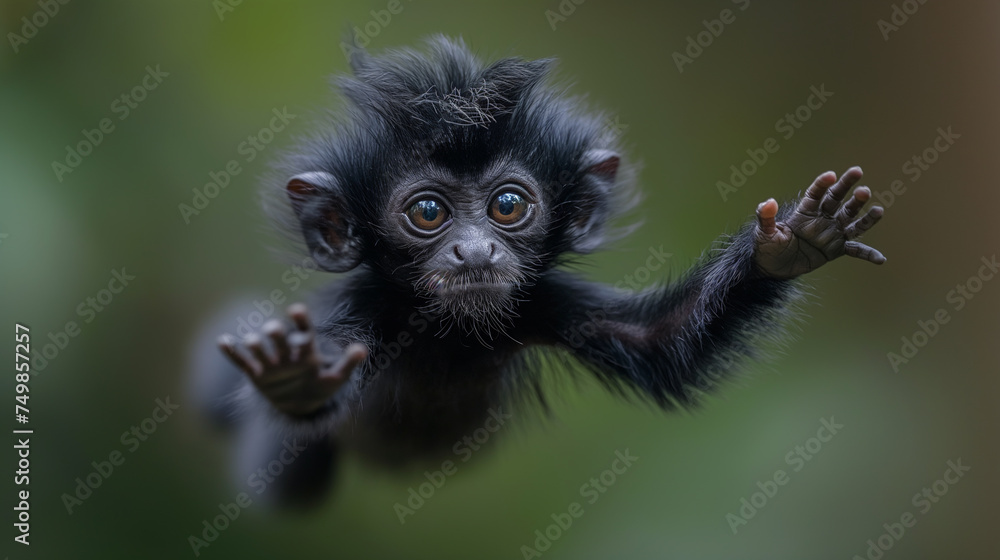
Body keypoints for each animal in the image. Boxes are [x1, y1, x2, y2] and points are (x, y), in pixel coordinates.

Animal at [191, 36, 886, 508]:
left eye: (507, 205)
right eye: (427, 213)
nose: (474, 252)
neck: (449, 334)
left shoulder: (546, 302)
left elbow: (664, 345)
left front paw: (793, 241)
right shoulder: (367, 310)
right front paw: (297, 374)